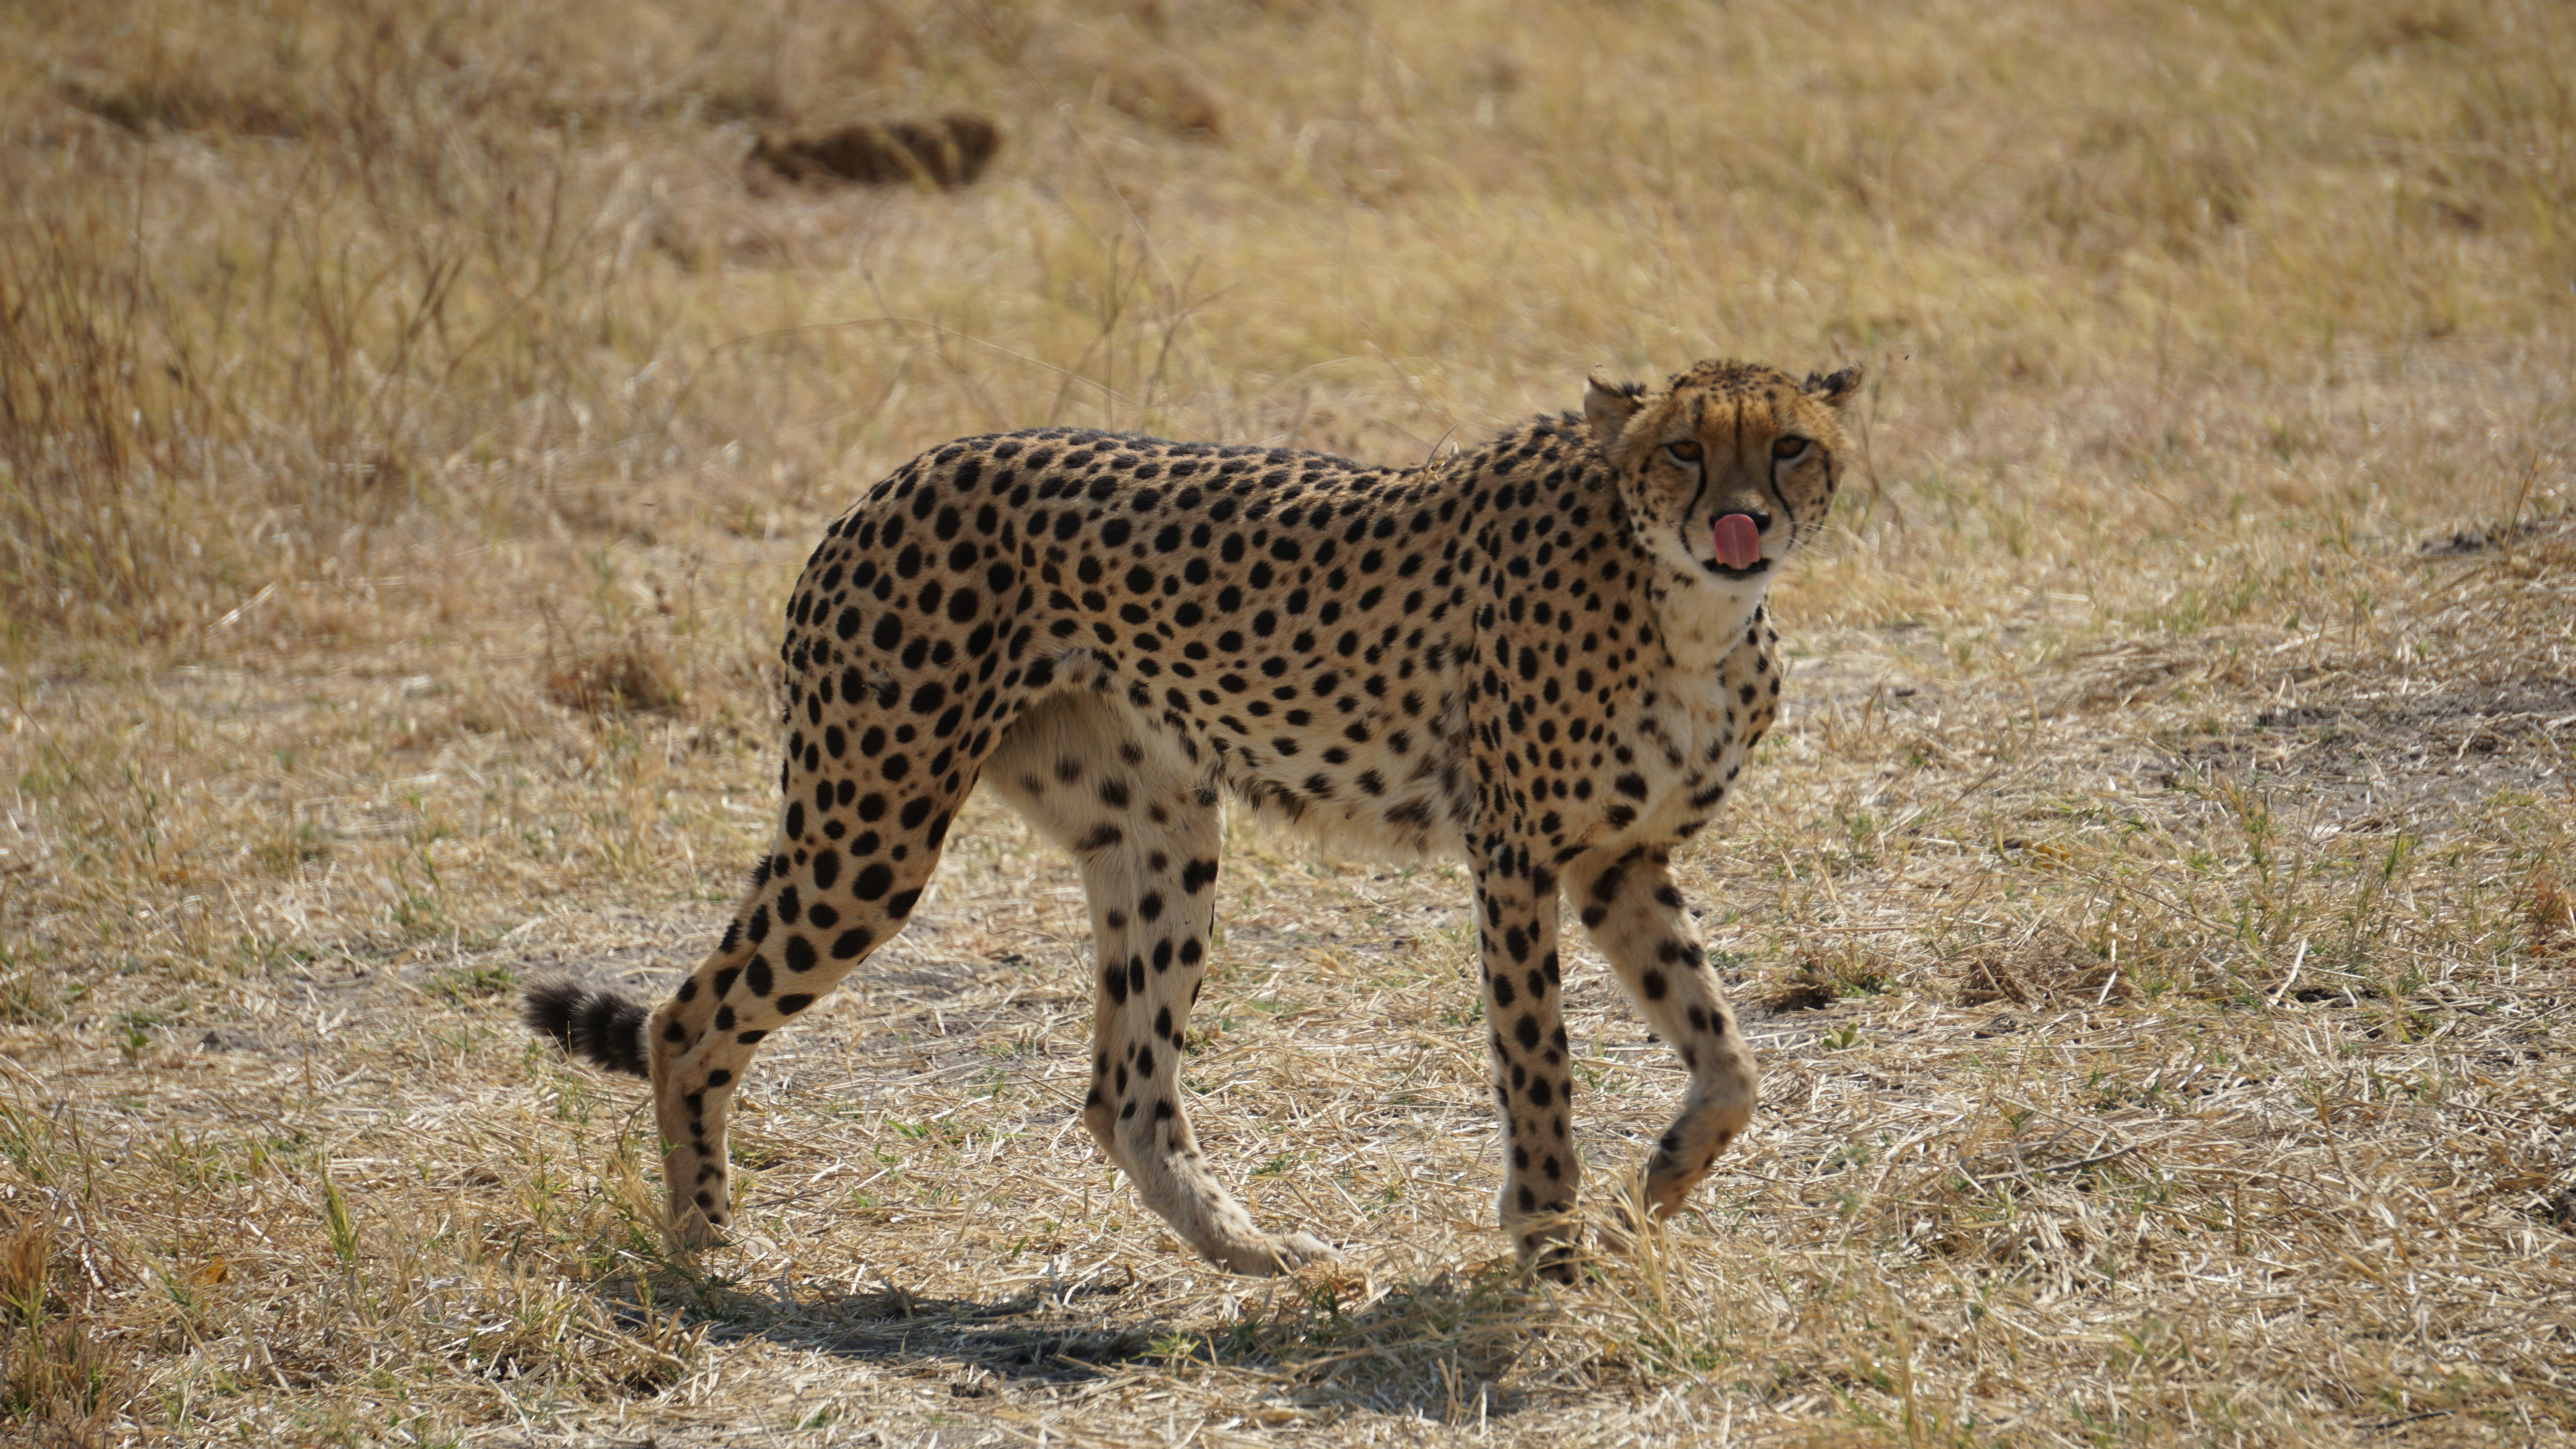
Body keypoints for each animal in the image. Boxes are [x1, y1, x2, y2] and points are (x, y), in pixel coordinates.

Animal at [526, 357, 1864, 1277]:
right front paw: (1547, 1233)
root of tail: (901, 473)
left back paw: (1255, 1253)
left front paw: (1652, 1190)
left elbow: (1732, 1064)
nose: (1739, 523)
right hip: (873, 822)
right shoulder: (1520, 856)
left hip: (1156, 829)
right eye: (1684, 450)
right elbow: (1538, 1062)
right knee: (691, 1019)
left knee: (1121, 1091)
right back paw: (707, 1244)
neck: (1687, 609)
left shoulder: (1620, 861)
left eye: (1792, 447)